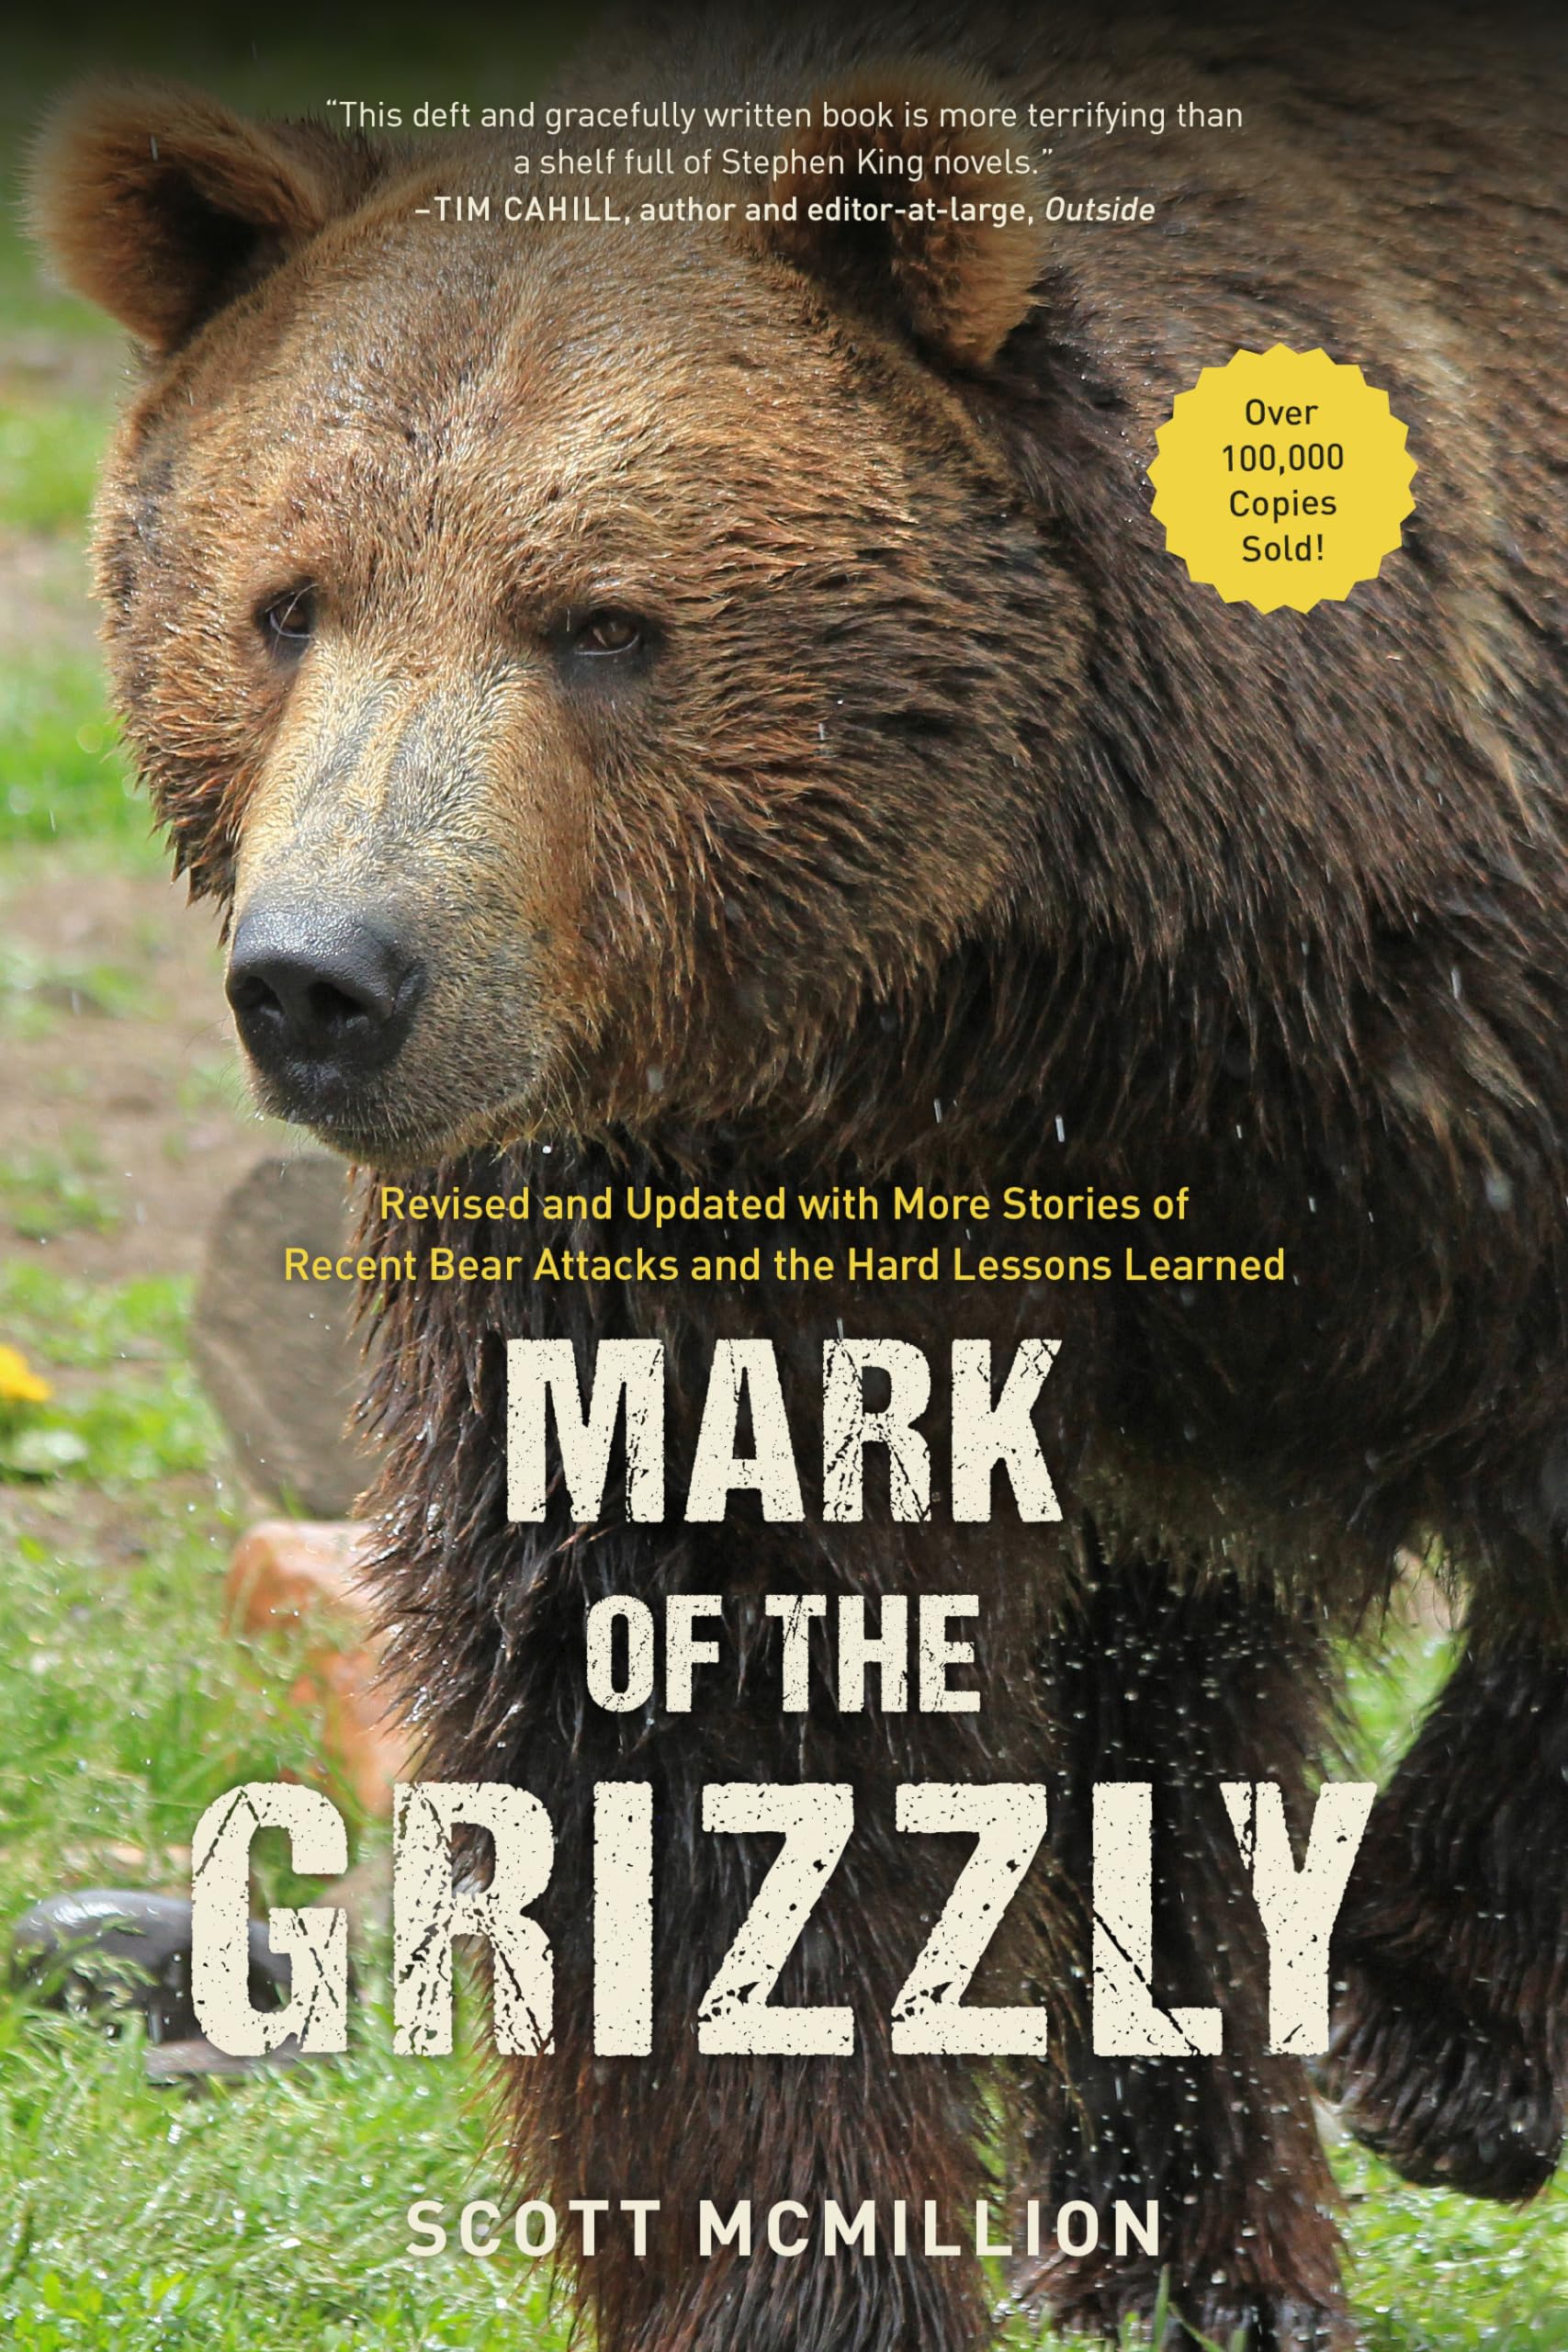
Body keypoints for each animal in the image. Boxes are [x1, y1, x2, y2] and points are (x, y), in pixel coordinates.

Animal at [29, 3, 1568, 2345]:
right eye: (285, 602)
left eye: (599, 620)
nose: (325, 978)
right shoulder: (699, 1209)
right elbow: (697, 1717)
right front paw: (806, 2268)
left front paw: (1440, 2017)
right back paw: (1179, 2241)